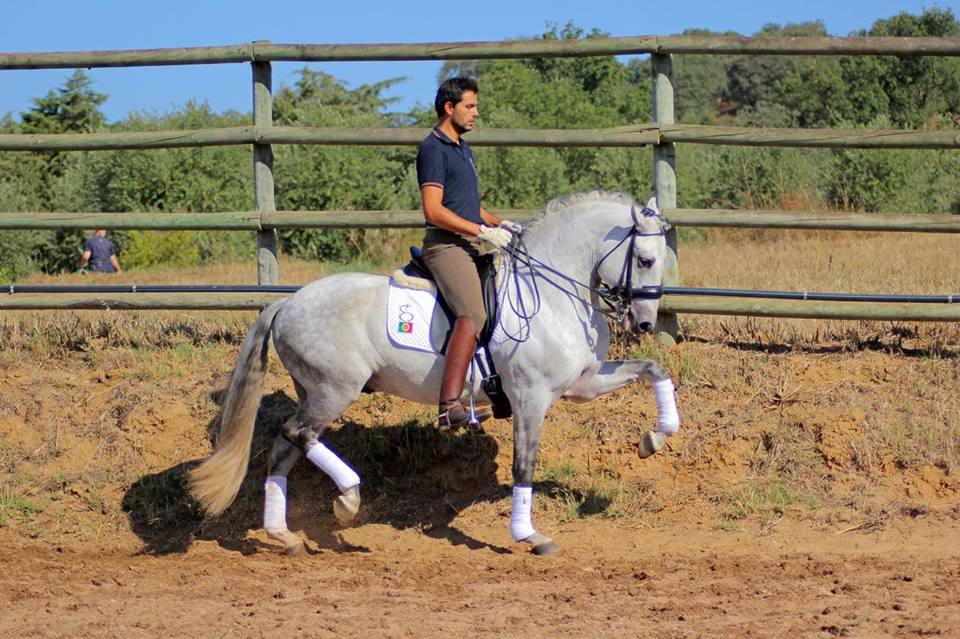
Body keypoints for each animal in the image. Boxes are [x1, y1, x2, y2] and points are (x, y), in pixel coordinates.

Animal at [189, 190, 681, 556]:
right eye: (646, 260)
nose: (644, 323)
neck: (552, 290)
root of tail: (286, 302)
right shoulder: (530, 396)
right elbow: (524, 464)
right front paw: (529, 535)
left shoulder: (583, 381)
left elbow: (655, 370)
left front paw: (655, 438)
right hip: (335, 389)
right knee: (298, 434)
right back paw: (348, 499)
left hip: (315, 392)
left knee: (283, 449)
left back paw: (285, 536)